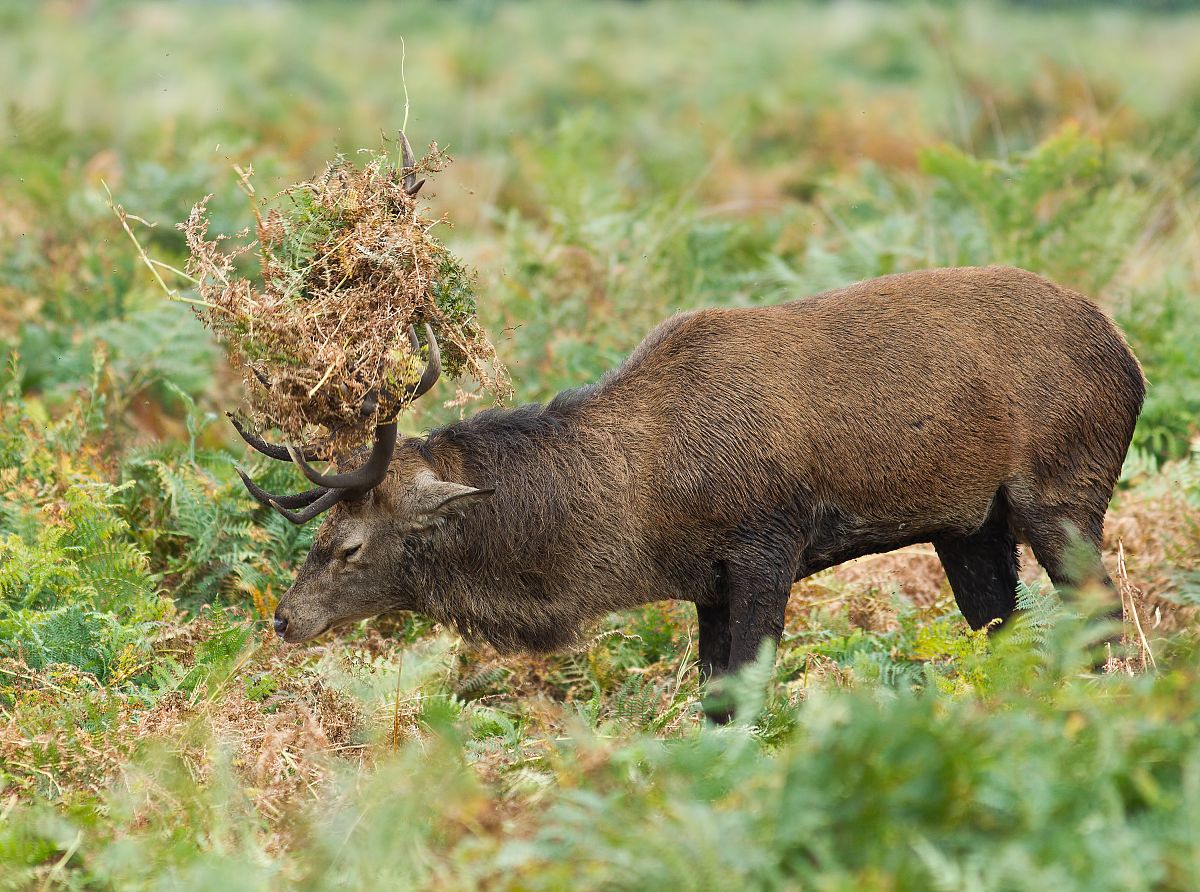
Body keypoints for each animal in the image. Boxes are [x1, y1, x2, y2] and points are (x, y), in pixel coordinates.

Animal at [233, 265, 1145, 721]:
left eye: (348, 546)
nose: (285, 620)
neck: (643, 514)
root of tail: (1129, 356)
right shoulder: (706, 582)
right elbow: (713, 701)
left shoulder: (767, 543)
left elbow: (748, 690)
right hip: (968, 523)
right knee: (1004, 630)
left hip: (1062, 489)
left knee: (1100, 616)